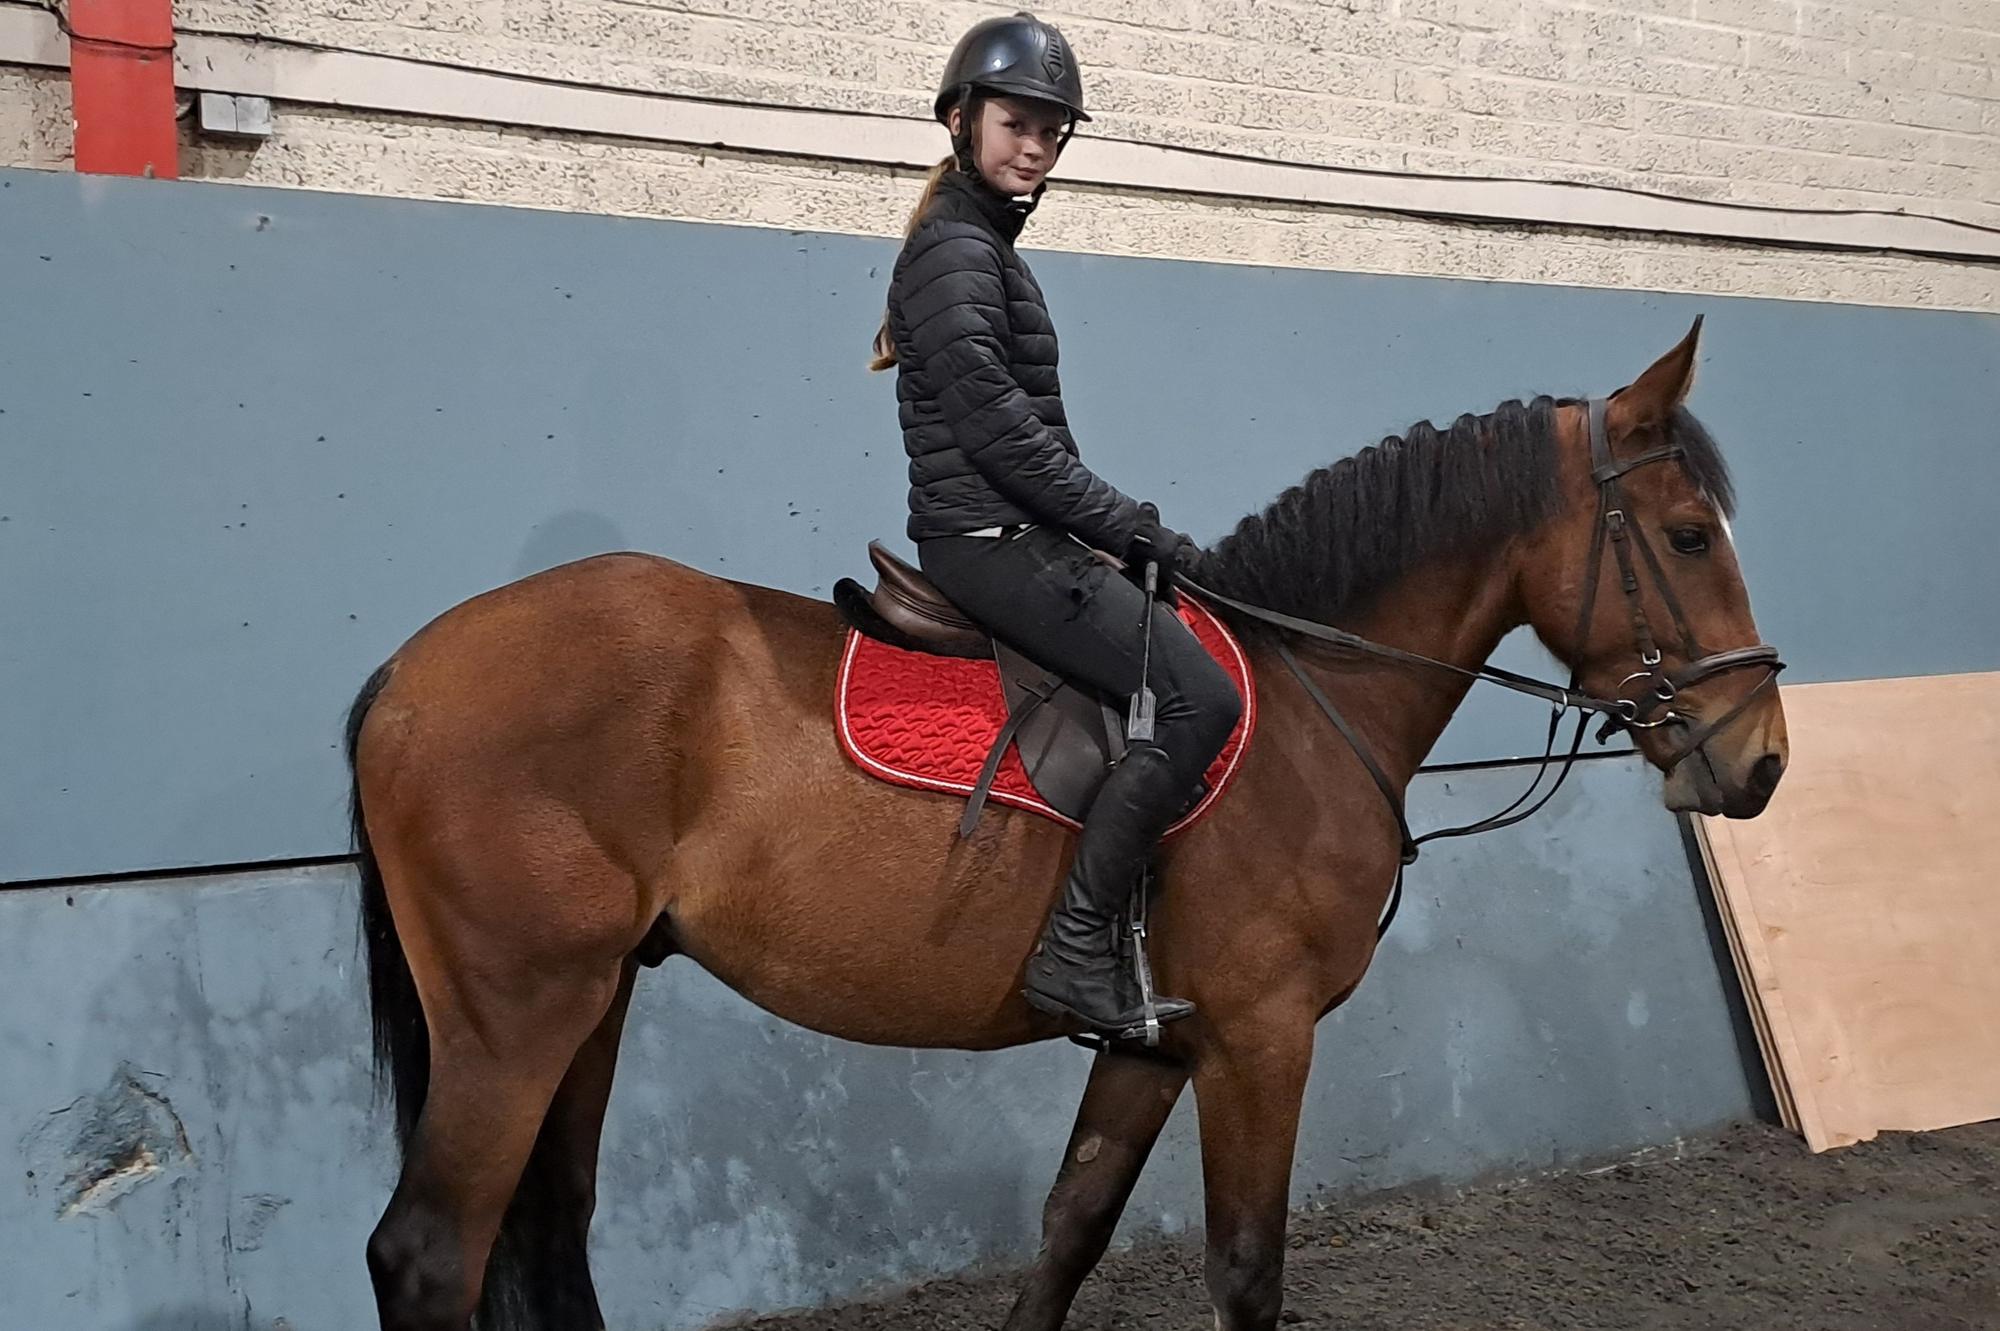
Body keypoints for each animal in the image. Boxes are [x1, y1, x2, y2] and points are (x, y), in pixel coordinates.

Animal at [349, 318, 1787, 1331]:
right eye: (1685, 534)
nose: (1761, 761)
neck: (1315, 697)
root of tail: (413, 667)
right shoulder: (1260, 1037)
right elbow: (1246, 1267)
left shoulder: (1157, 1039)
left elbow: (1070, 1226)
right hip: (516, 1012)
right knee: (428, 1254)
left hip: (591, 1001)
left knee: (550, 1235)